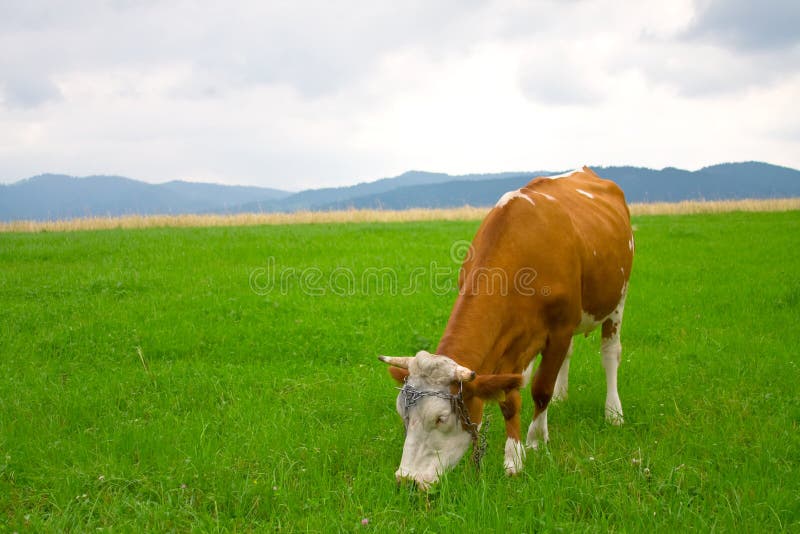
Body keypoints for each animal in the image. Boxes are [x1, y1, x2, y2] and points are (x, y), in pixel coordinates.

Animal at [378, 166, 634, 489]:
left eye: (441, 418)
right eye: (403, 414)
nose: (406, 480)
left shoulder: (560, 329)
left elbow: (540, 388)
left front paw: (534, 442)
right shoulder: (509, 341)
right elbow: (510, 396)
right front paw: (515, 455)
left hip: (617, 299)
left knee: (610, 354)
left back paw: (613, 412)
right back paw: (562, 396)